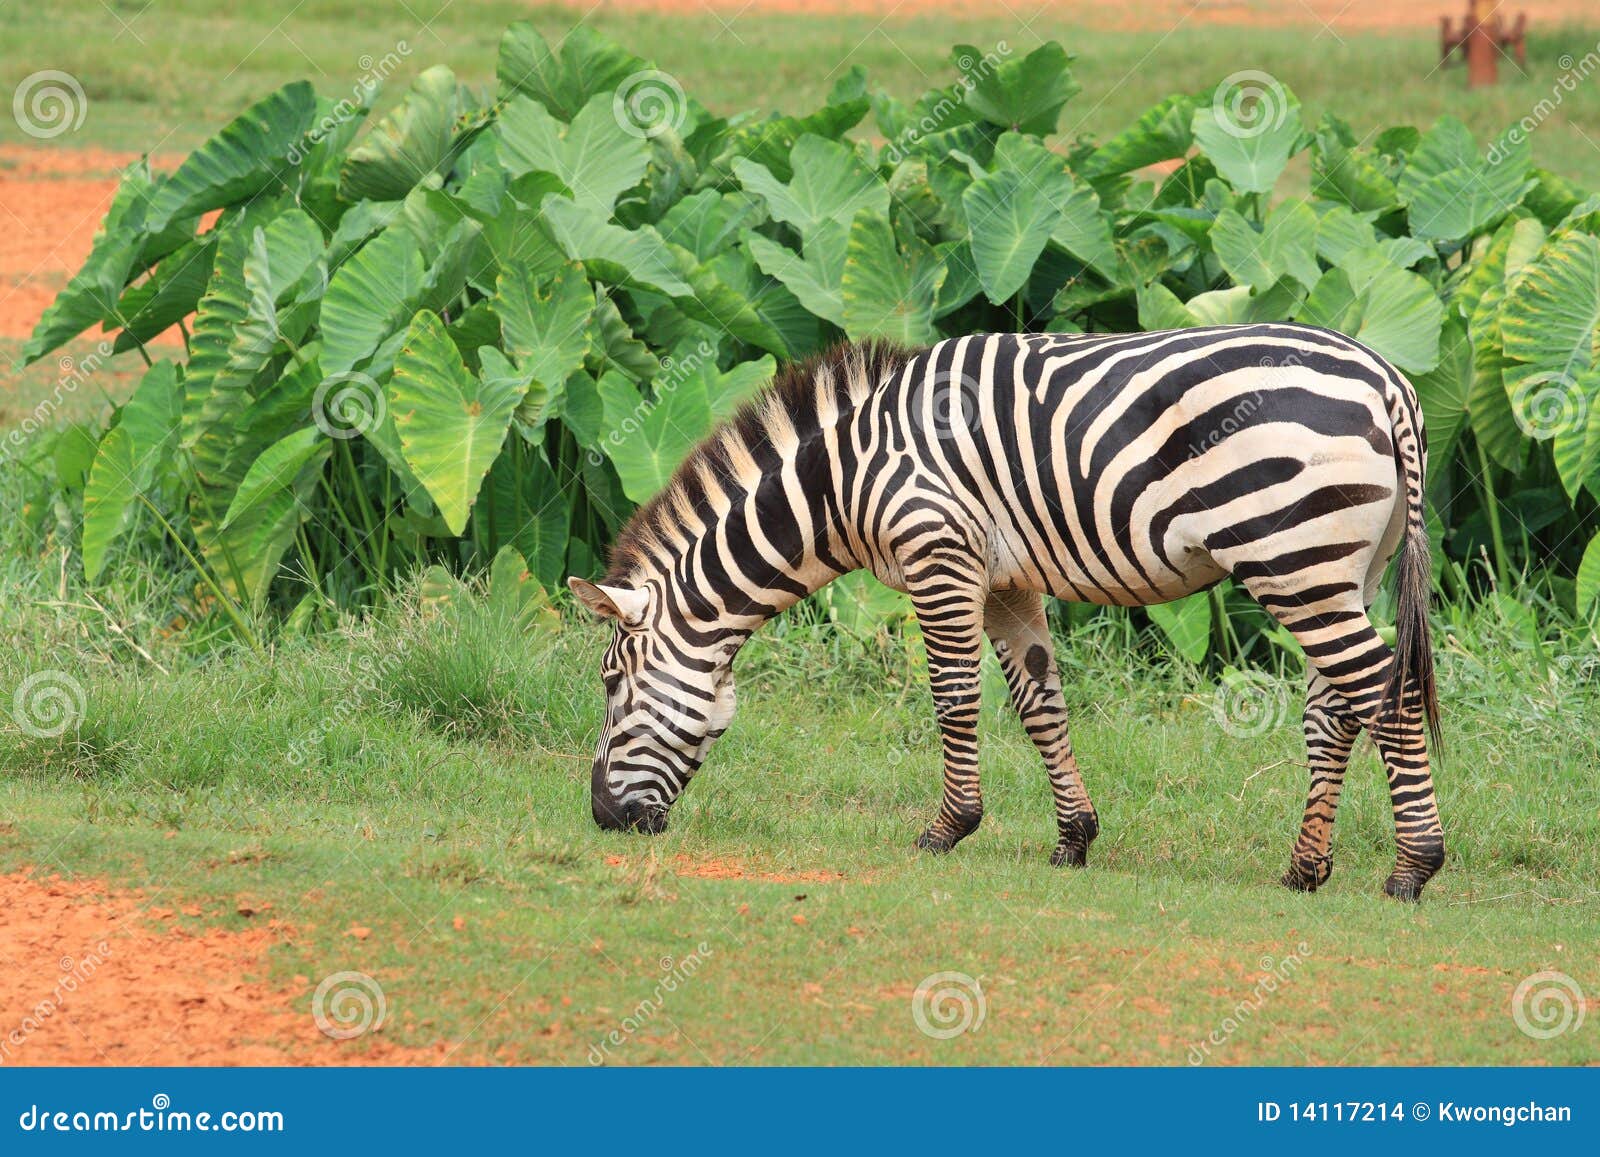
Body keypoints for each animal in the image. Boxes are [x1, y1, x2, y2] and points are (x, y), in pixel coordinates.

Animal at [568, 324, 1446, 900]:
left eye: (611, 683)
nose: (602, 816)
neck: (841, 483)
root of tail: (1388, 382)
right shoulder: (1007, 583)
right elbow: (1039, 704)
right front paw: (1074, 838)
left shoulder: (938, 554)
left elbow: (955, 699)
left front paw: (947, 828)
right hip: (1342, 568)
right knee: (1335, 709)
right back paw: (1304, 868)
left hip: (1291, 554)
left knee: (1389, 692)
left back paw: (1412, 867)